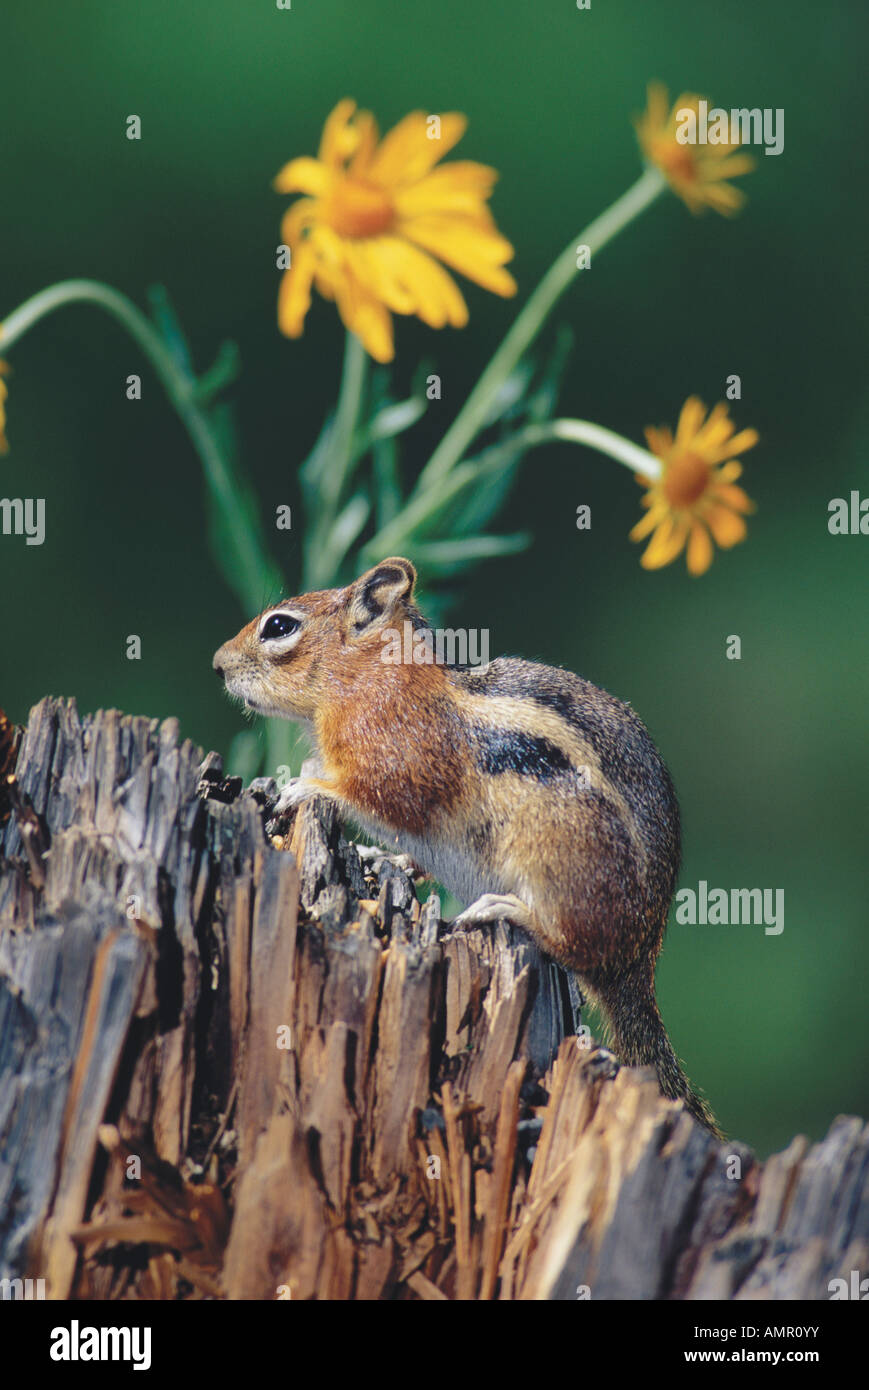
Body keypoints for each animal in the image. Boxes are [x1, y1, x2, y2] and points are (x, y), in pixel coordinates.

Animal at [213, 556, 721, 1137]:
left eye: (279, 626)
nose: (218, 664)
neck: (368, 677)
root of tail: (638, 967)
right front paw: (379, 853)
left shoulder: (395, 753)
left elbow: (377, 792)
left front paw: (305, 785)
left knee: (572, 946)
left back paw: (510, 909)